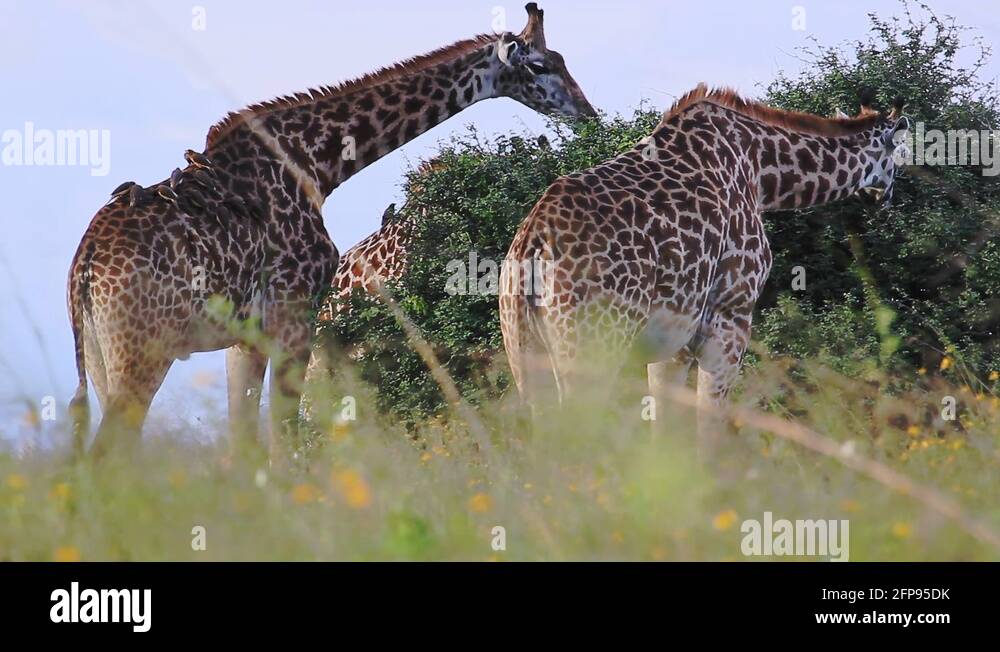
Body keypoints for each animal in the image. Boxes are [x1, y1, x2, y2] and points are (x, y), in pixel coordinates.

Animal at [67, 3, 595, 460]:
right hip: (143, 352)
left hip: (101, 360)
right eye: (541, 65)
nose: (587, 112)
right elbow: (284, 441)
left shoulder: (247, 336)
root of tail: (84, 270)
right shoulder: (294, 315)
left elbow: (245, 447)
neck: (314, 164)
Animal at [498, 85, 909, 454]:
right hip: (596, 341)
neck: (760, 172)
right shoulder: (729, 317)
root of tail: (533, 243)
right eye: (899, 152)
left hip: (524, 346)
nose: (886, 196)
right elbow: (708, 432)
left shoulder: (674, 338)